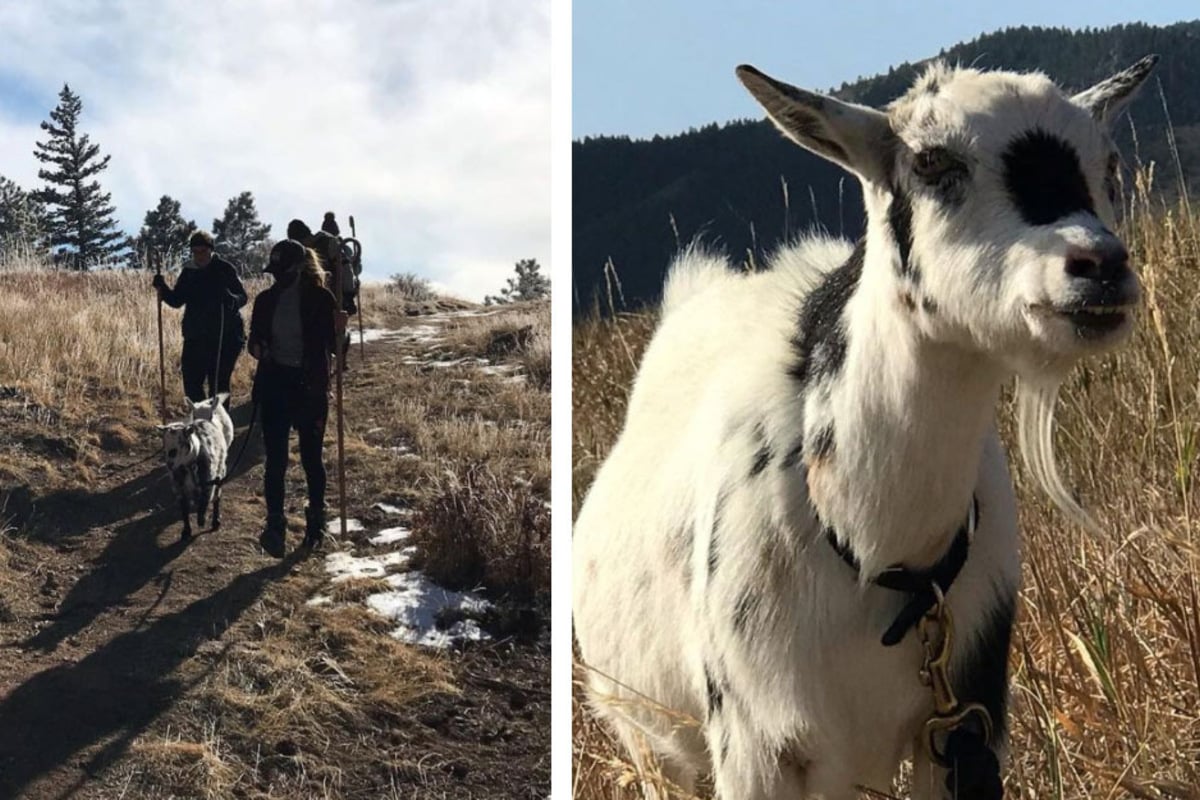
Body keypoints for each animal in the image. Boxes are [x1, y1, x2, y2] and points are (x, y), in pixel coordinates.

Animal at [572, 56, 1156, 800]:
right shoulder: (755, 747)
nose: (1101, 267)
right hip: (647, 735)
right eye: (932, 161)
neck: (877, 551)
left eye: (1107, 163)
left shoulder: (965, 721)